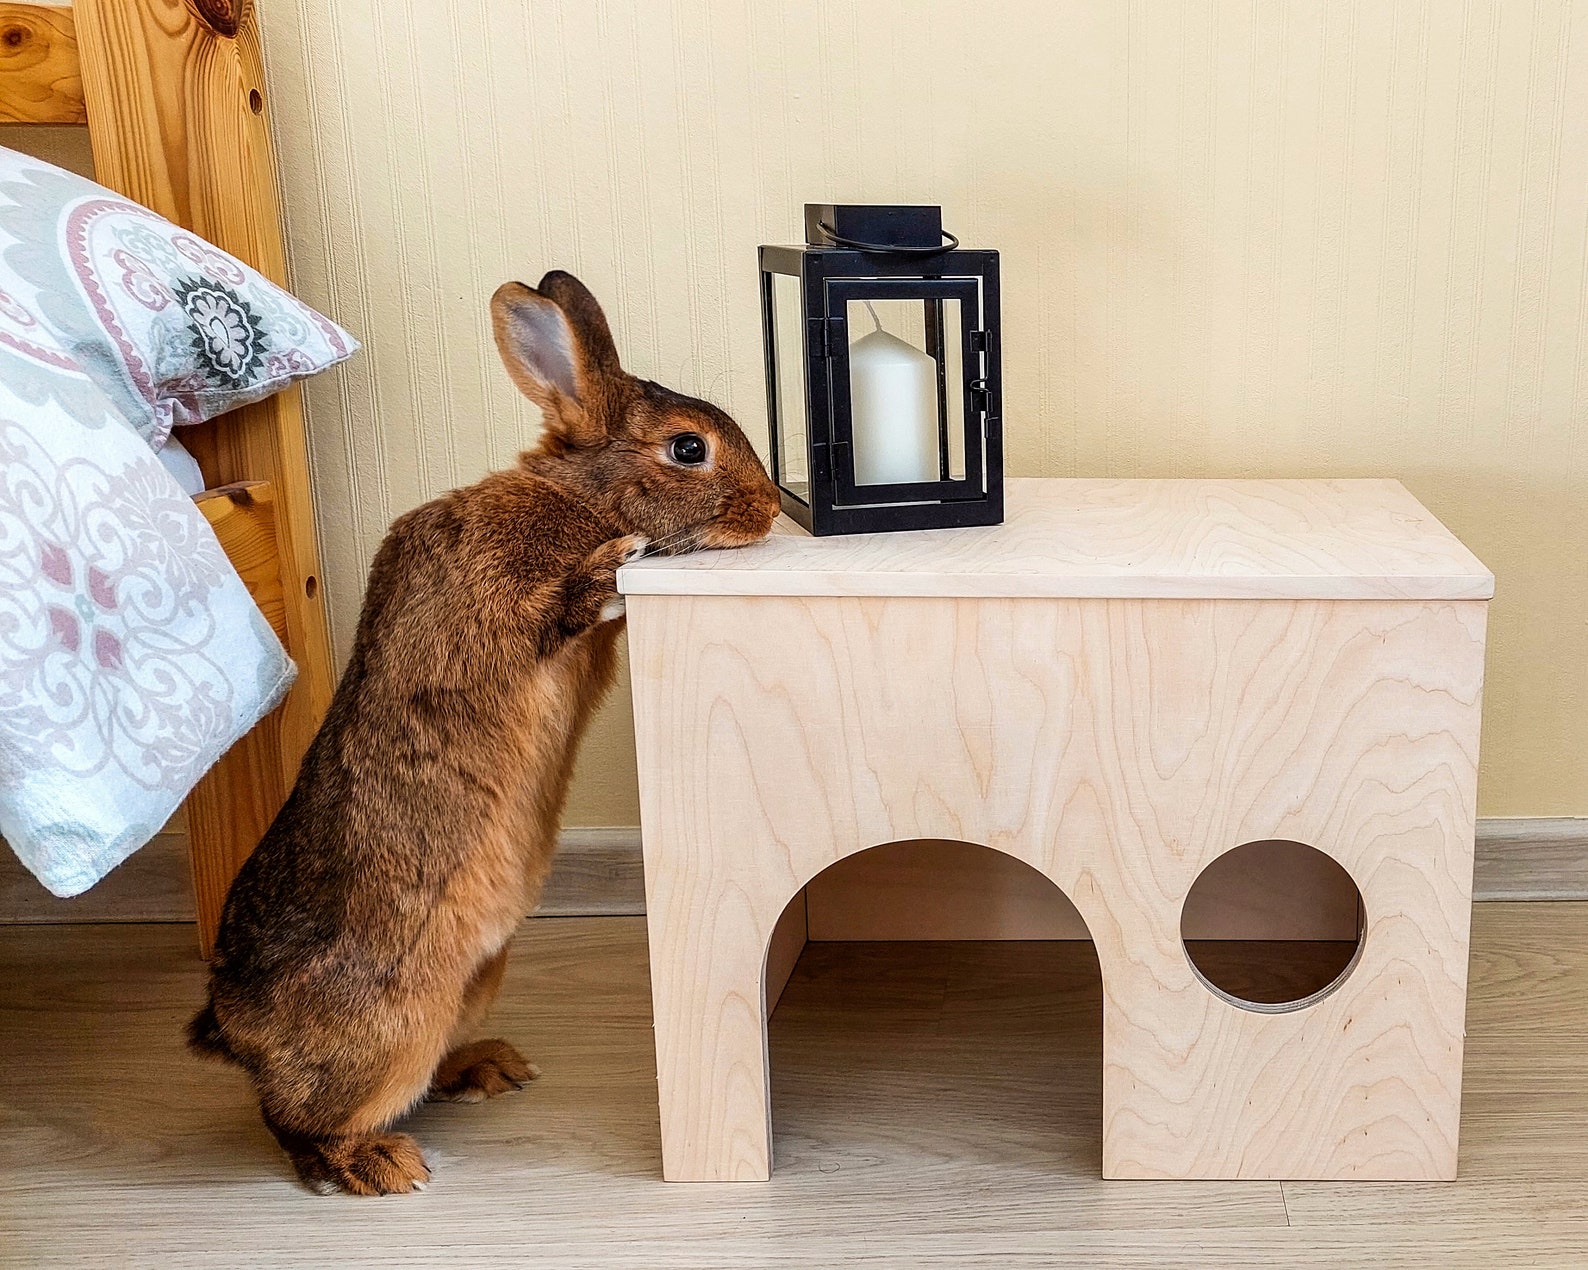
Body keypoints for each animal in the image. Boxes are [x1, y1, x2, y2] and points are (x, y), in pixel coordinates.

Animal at [188, 270, 781, 1196]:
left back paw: (489, 1068)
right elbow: (564, 603)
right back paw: (381, 1166)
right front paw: (618, 560)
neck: (575, 500)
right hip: (389, 1029)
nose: (769, 511)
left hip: (475, 981)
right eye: (689, 449)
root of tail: (231, 1027)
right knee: (297, 1125)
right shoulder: (498, 606)